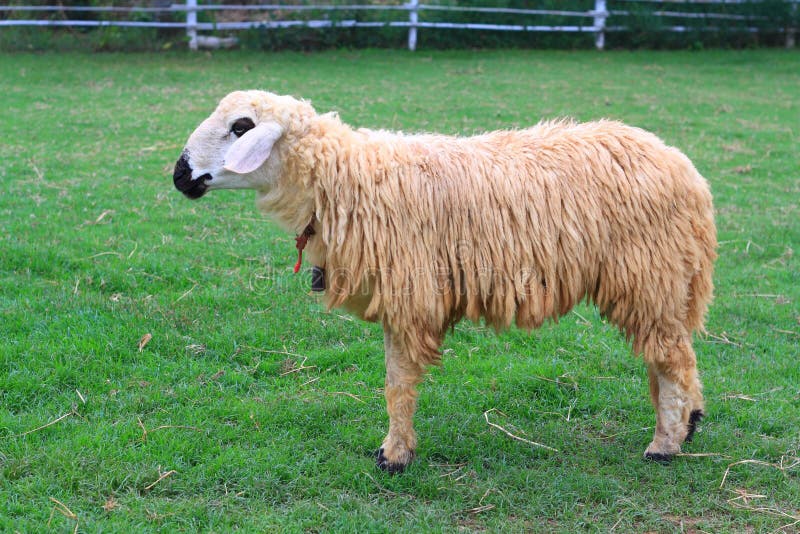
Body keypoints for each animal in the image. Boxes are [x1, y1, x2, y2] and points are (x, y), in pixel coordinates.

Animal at [173, 90, 717, 473]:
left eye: (241, 127)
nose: (179, 175)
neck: (348, 179)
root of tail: (686, 170)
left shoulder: (408, 296)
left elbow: (397, 384)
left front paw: (395, 455)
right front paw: (395, 449)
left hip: (648, 274)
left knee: (671, 358)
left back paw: (664, 445)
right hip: (664, 282)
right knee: (671, 355)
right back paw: (689, 422)